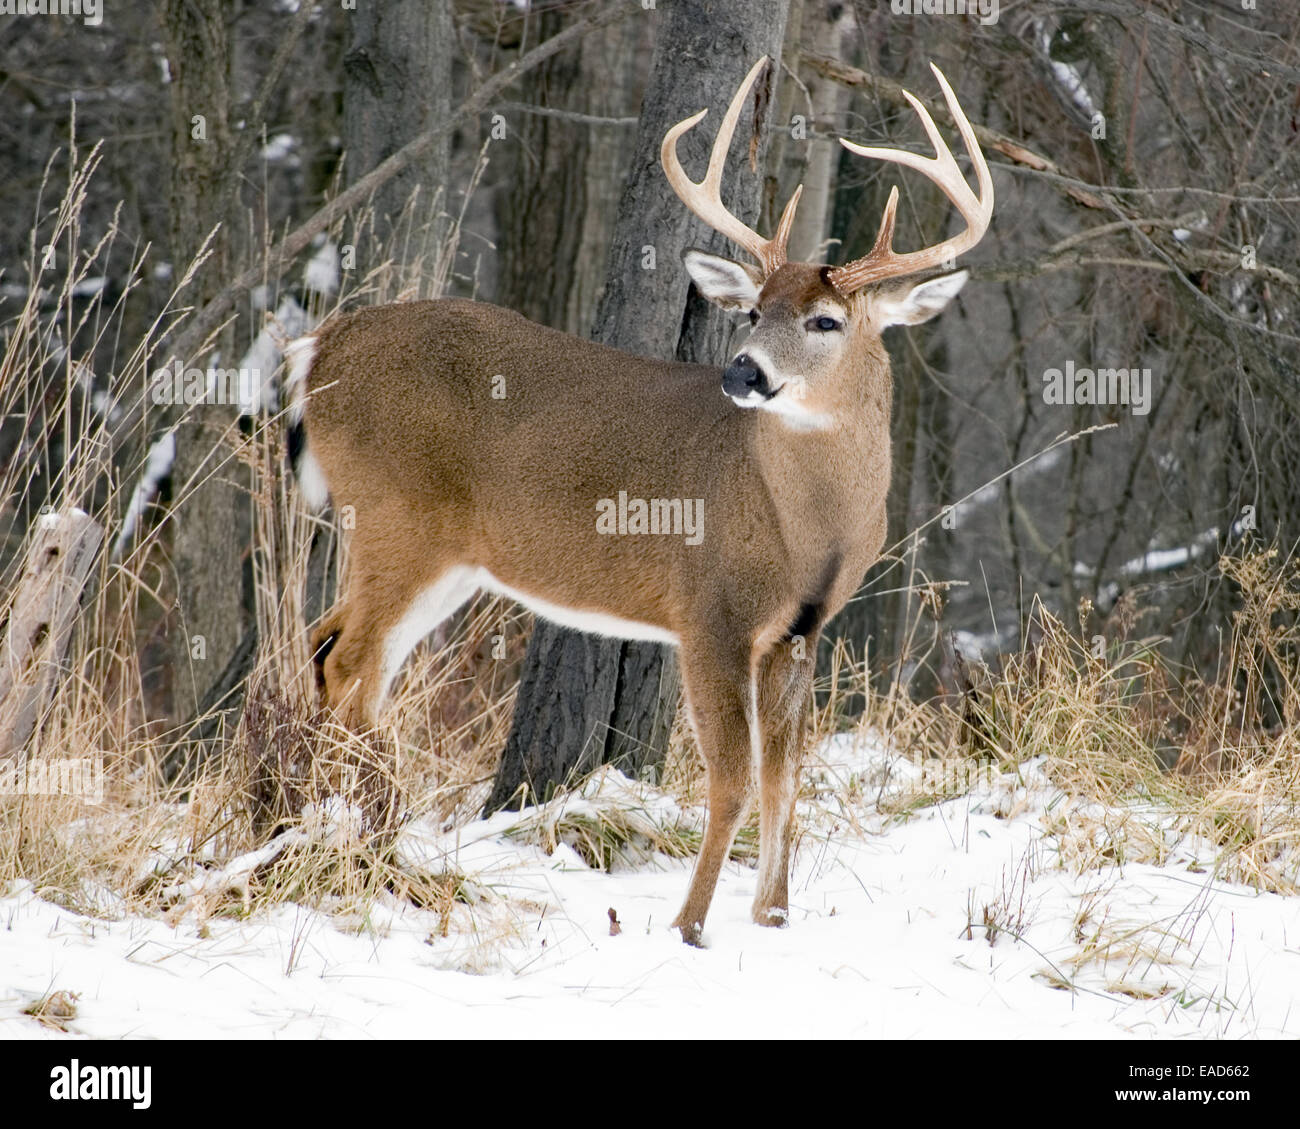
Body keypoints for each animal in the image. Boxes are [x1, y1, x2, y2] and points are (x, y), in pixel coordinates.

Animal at [285, 57, 992, 946]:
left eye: (827, 320)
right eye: (753, 310)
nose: (744, 369)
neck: (808, 525)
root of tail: (319, 347)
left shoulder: (801, 631)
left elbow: (785, 774)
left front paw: (773, 914)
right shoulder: (711, 610)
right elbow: (731, 778)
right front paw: (690, 925)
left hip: (445, 556)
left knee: (337, 651)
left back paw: (340, 819)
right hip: (396, 517)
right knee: (348, 659)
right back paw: (369, 826)